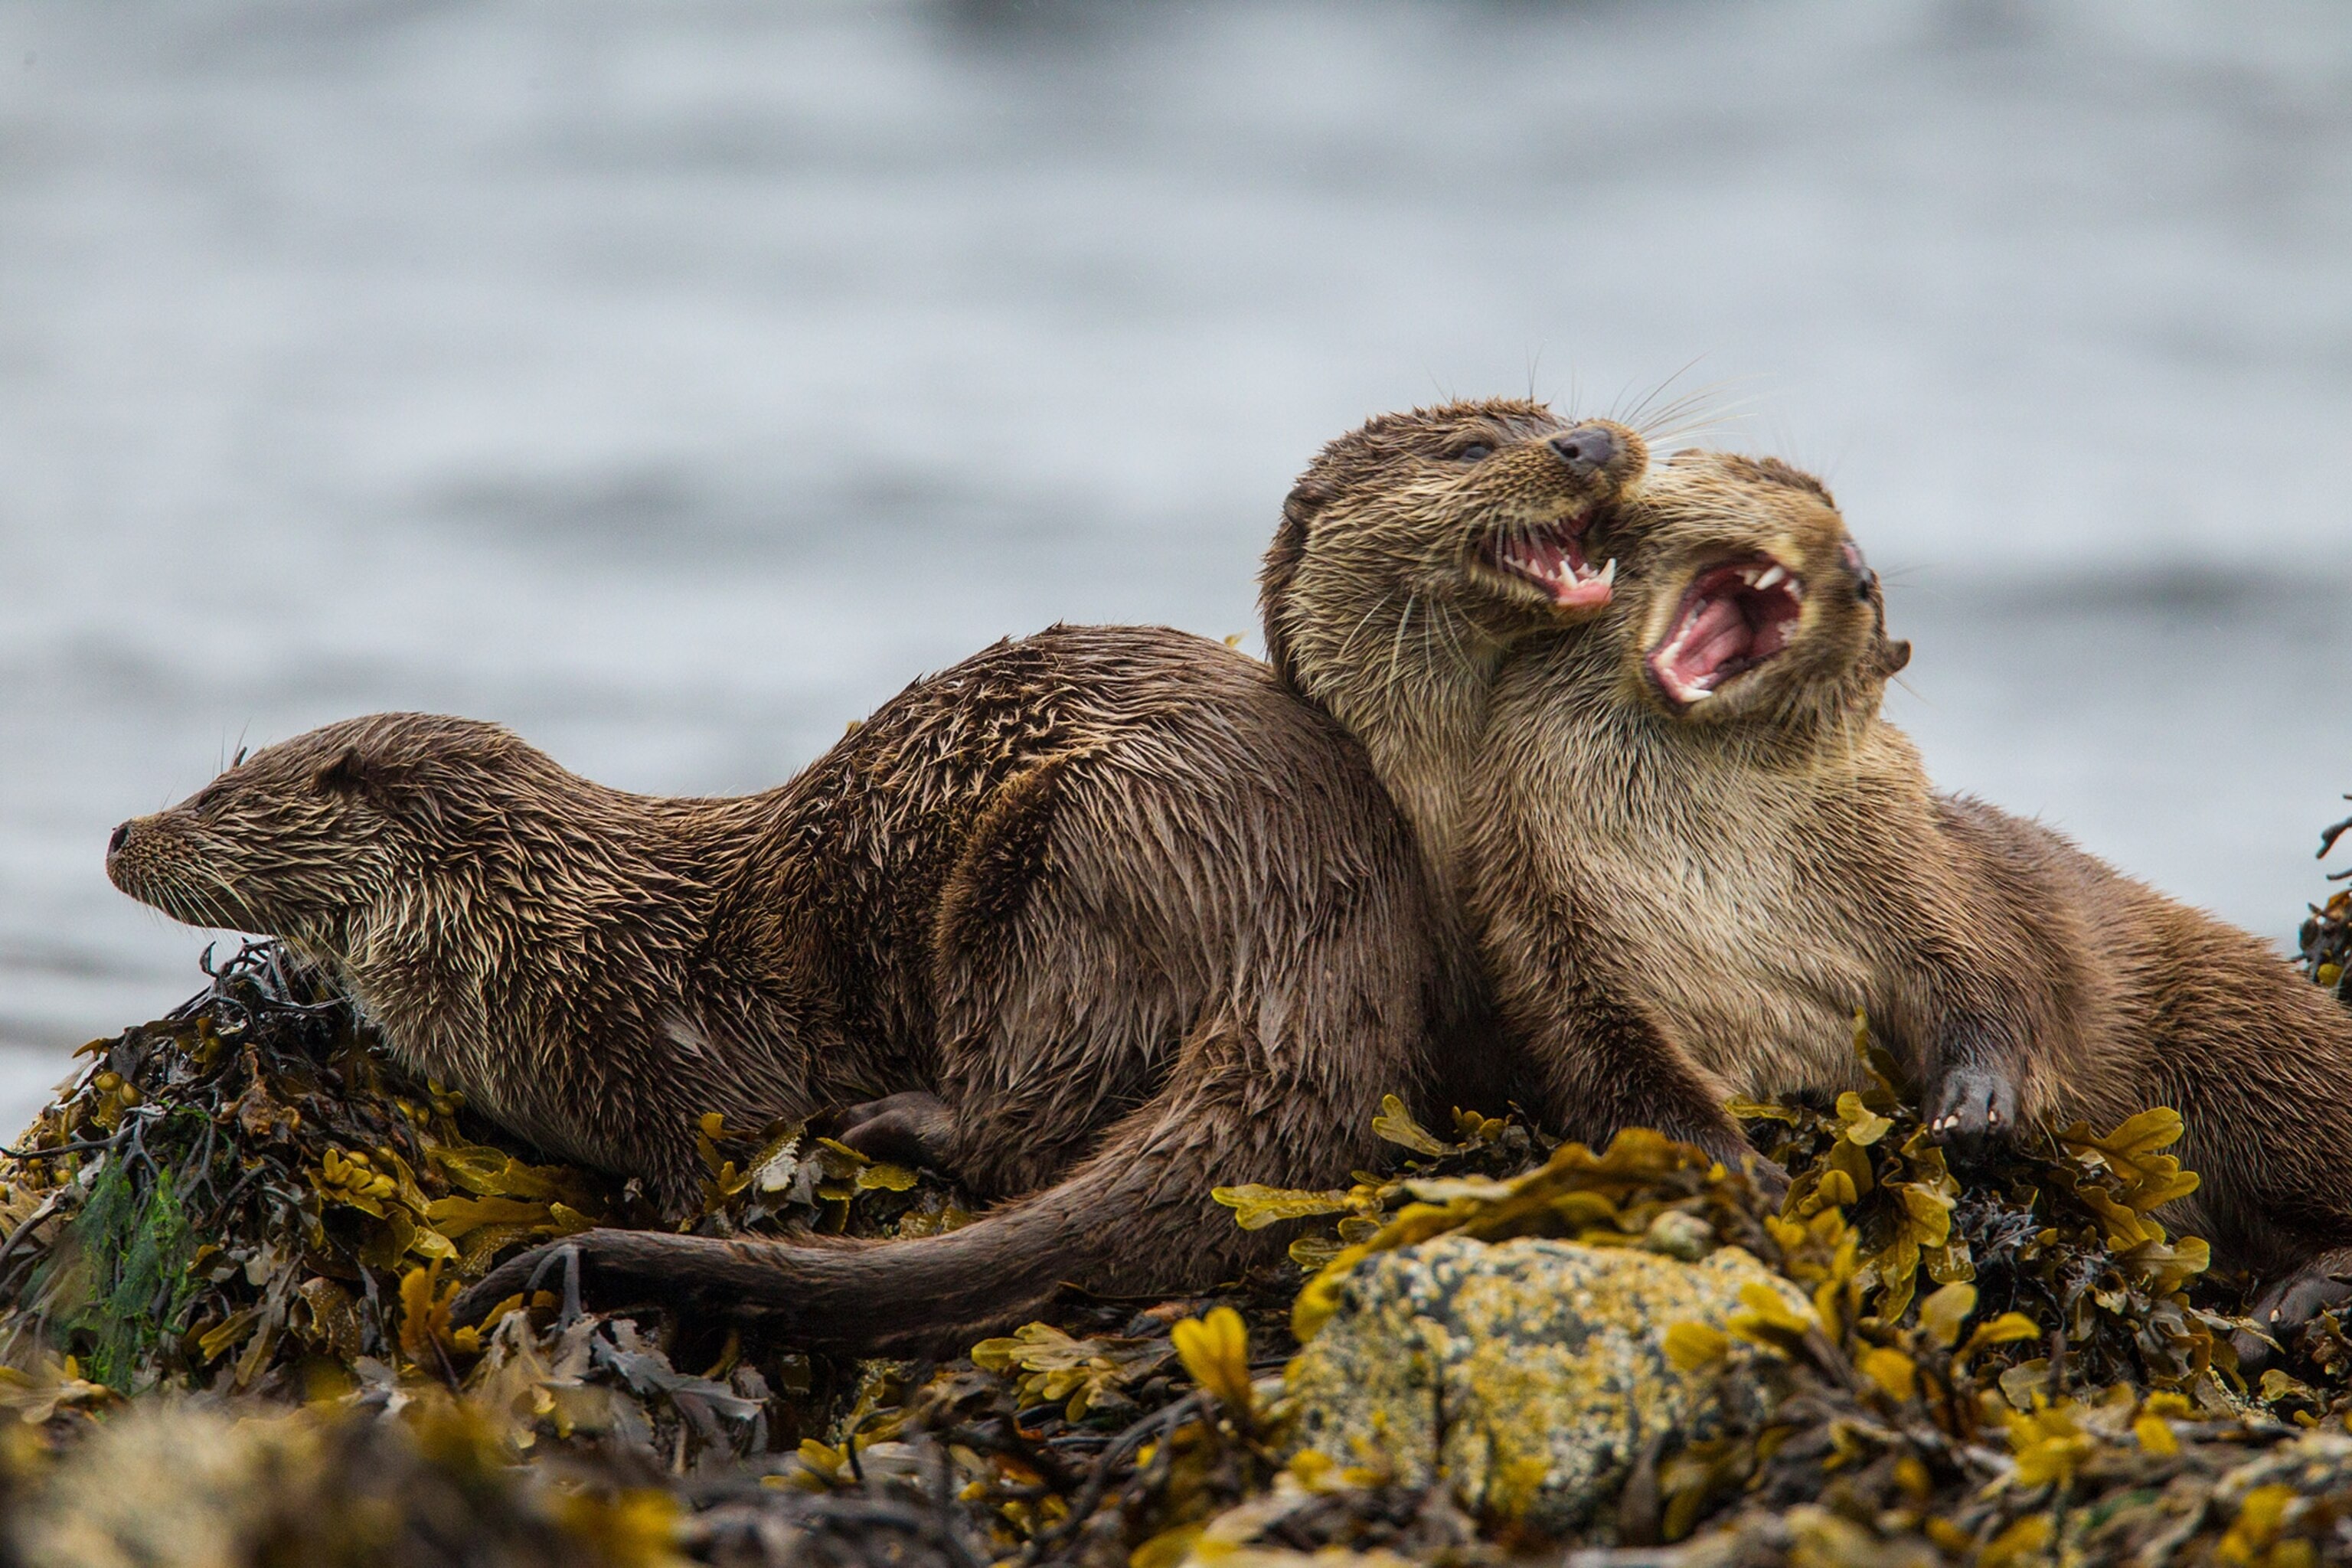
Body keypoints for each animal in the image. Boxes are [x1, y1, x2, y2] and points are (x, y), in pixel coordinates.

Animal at [107, 625, 1452, 1350]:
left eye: (218, 792)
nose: (122, 830)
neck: (531, 926)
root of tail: (1315, 906)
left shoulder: (685, 1053)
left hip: (1073, 859)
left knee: (1030, 1118)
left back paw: (898, 1121)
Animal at [1266, 399, 2352, 1349]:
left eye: (1871, 592)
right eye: (1780, 482)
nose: (1856, 559)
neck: (1720, 872)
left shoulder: (1918, 867)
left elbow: (1996, 969)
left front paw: (1974, 1100)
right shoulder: (1553, 925)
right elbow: (1620, 1069)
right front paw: (1750, 1176)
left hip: (2243, 1032)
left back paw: (2292, 1298)